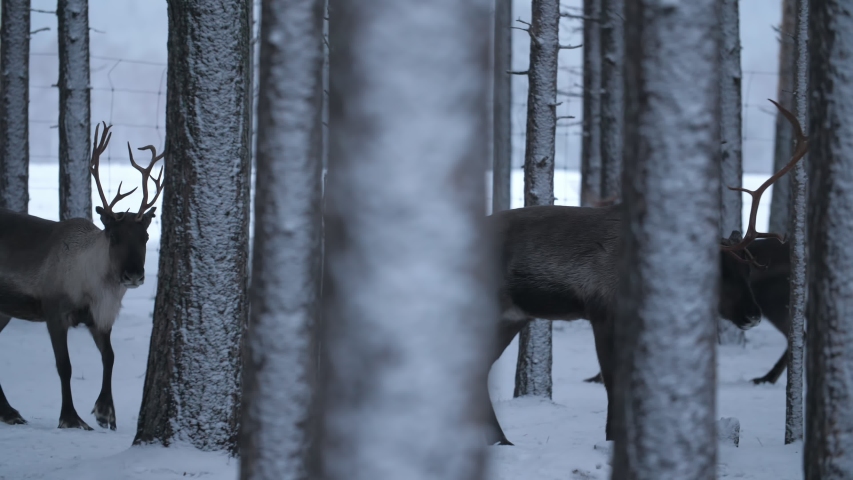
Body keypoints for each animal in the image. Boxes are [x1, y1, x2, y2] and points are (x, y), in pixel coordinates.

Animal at [0, 121, 164, 431]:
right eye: (113, 236)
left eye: (146, 236)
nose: (134, 275)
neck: (96, 289)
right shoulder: (54, 312)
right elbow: (65, 366)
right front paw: (70, 418)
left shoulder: (100, 319)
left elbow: (110, 358)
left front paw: (105, 413)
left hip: (3, 311)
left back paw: (10, 412)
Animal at [483, 100, 808, 446]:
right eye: (719, 273)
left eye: (747, 269)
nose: (752, 315)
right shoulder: (603, 311)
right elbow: (613, 380)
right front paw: (612, 439)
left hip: (513, 316)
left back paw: (502, 440)